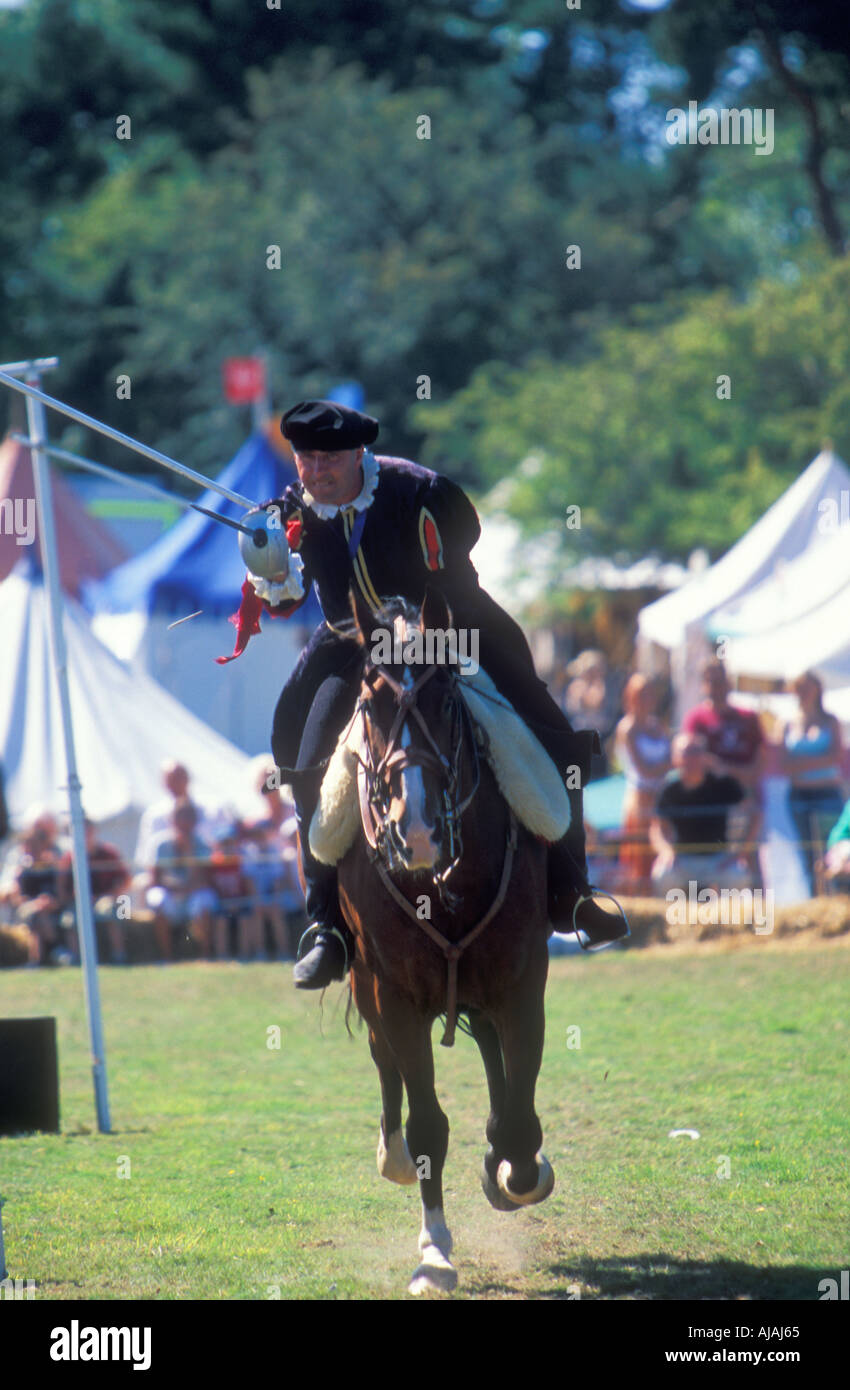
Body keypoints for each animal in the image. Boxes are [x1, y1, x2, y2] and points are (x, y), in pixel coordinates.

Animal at [313, 587, 558, 1295]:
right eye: (369, 703)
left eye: (447, 700)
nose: (414, 832)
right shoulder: (391, 995)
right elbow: (427, 1123)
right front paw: (435, 1252)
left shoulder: (521, 983)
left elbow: (518, 1118)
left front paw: (515, 1170)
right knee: (385, 1064)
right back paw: (392, 1154)